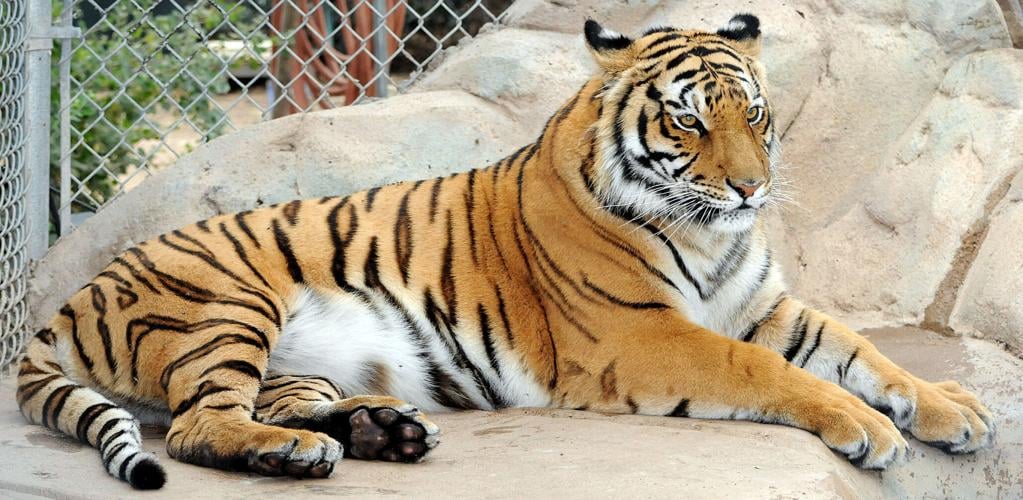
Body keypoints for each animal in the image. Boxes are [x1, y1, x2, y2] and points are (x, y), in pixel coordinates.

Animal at [16, 14, 994, 490]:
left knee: (281, 402)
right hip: (227, 305)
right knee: (194, 425)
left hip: (293, 360)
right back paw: (293, 456)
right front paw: (867, 427)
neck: (705, 231)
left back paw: (380, 431)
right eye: (688, 121)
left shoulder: (762, 305)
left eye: (753, 115)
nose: (752, 189)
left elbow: (859, 351)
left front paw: (951, 408)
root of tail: (67, 302)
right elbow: (768, 372)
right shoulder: (638, 334)